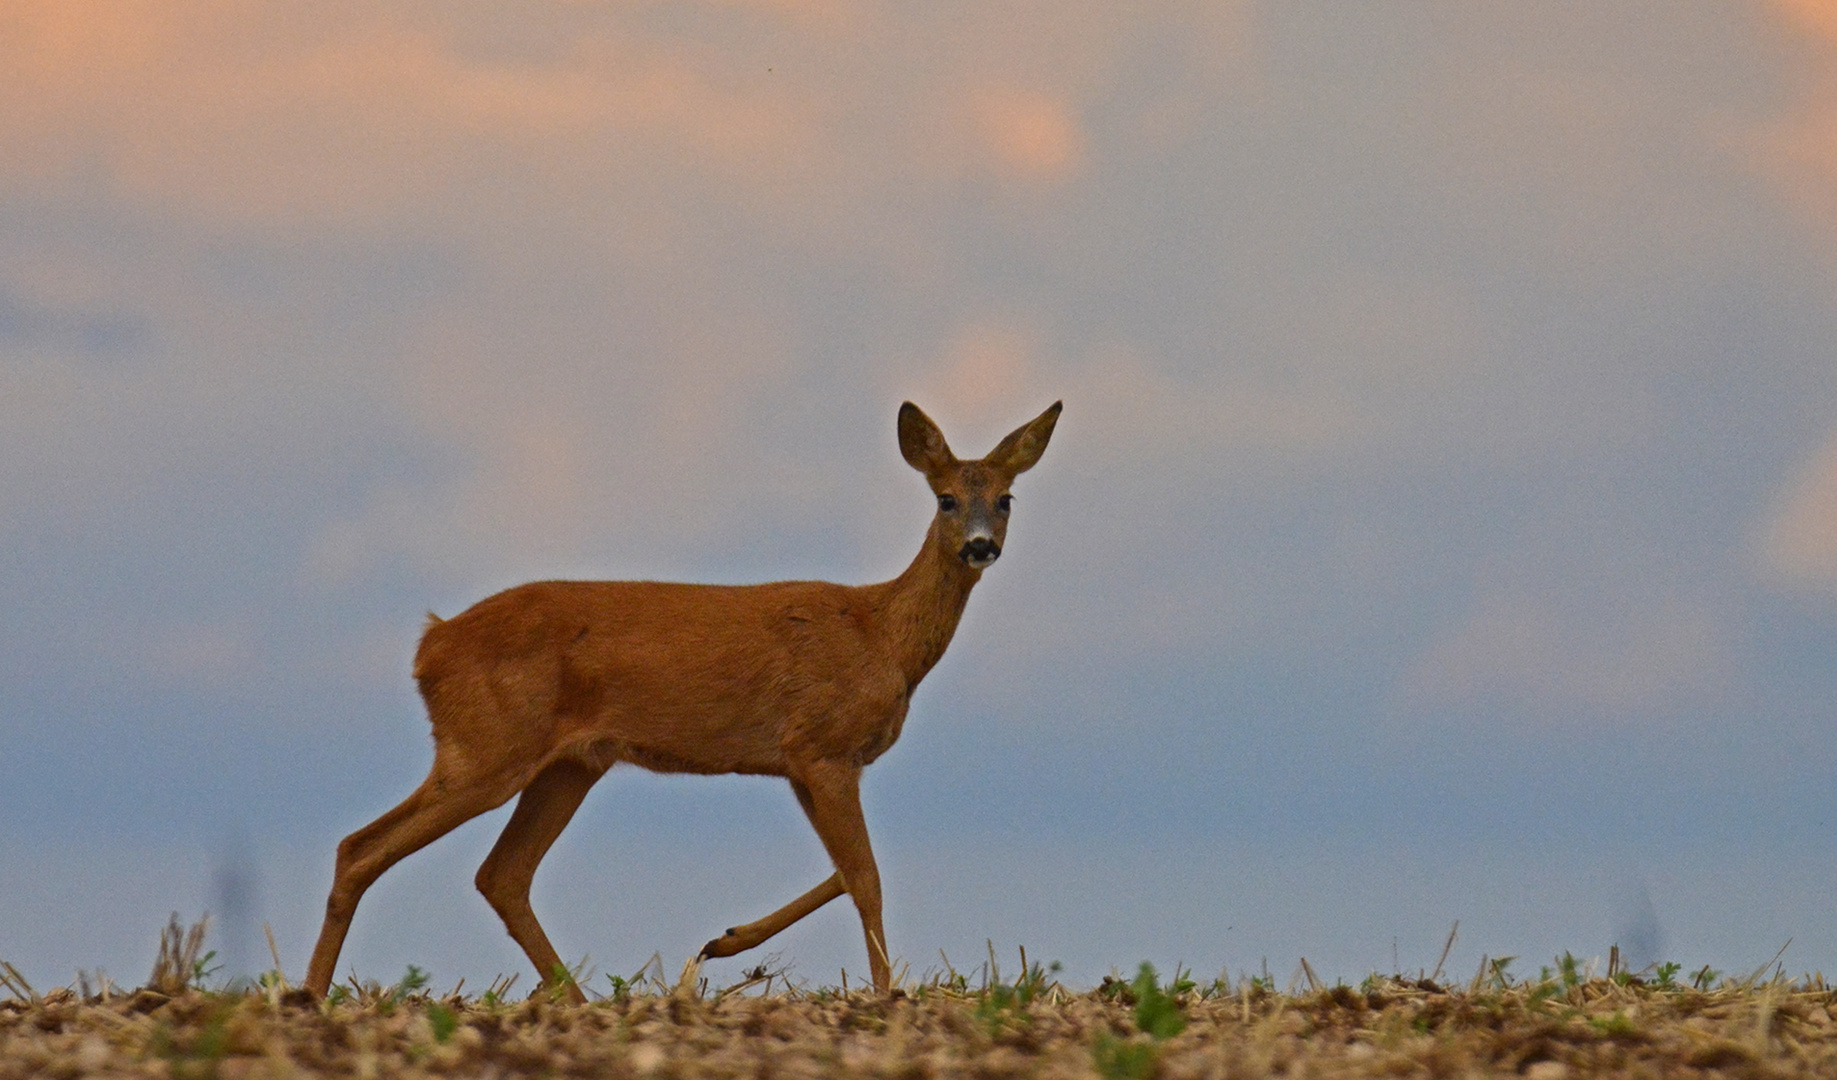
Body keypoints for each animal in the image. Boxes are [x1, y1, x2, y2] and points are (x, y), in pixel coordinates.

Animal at [304, 400, 1065, 999]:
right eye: (944, 497)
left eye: (1005, 498)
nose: (979, 546)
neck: (882, 636)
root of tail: (428, 646)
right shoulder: (822, 746)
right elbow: (867, 874)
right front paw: (883, 995)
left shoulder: (798, 762)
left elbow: (846, 871)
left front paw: (724, 942)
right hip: (487, 746)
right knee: (360, 847)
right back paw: (310, 994)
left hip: (570, 763)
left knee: (501, 874)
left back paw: (577, 1000)